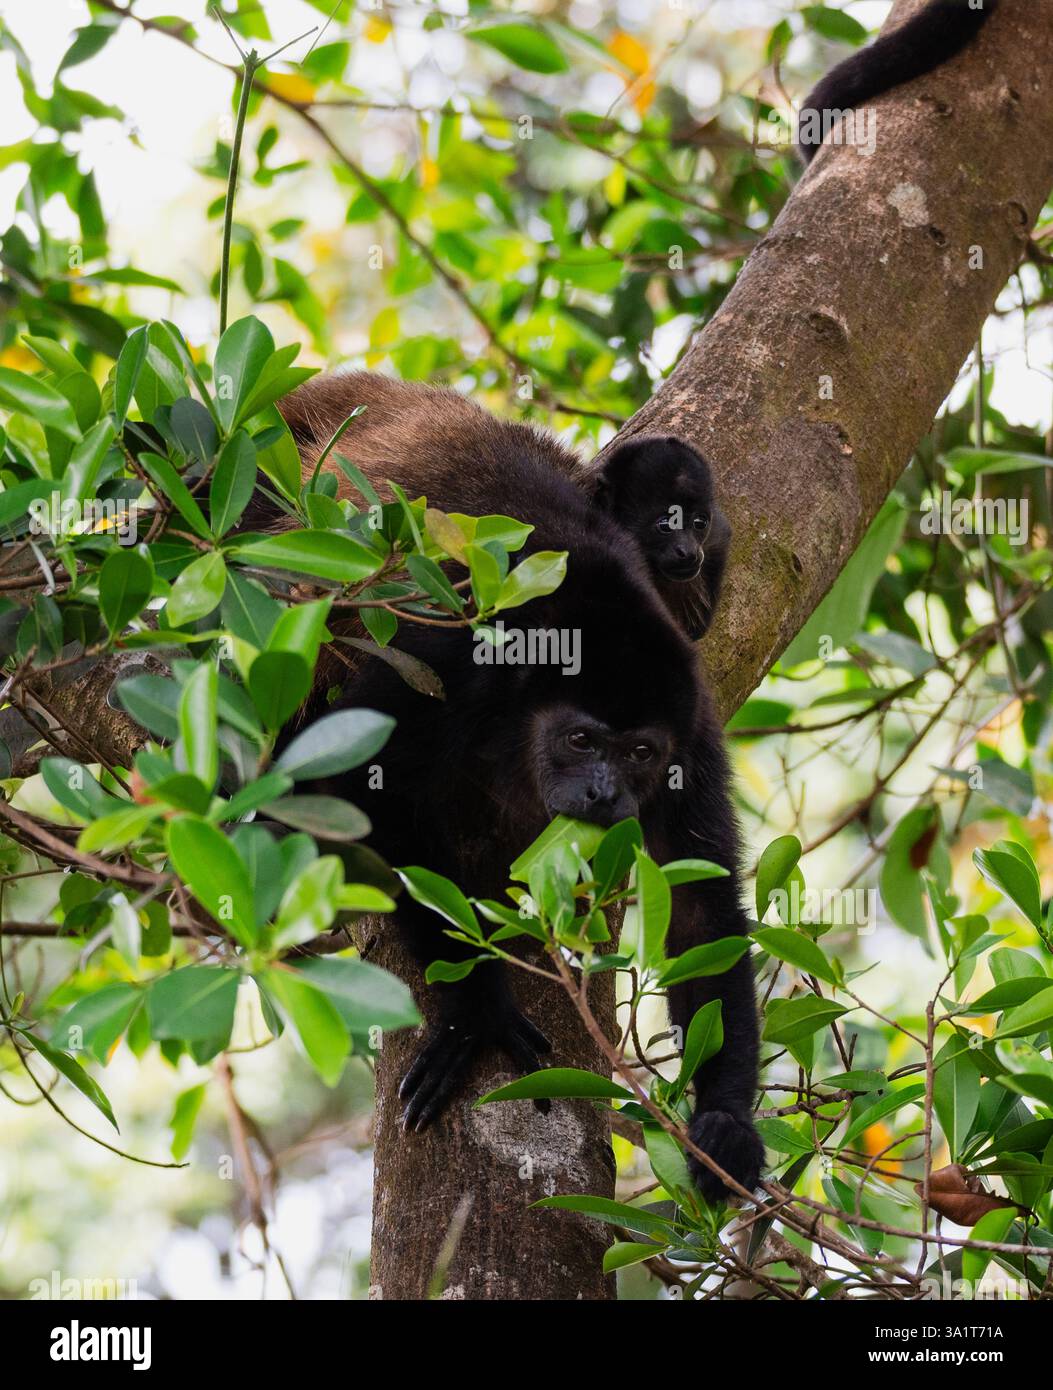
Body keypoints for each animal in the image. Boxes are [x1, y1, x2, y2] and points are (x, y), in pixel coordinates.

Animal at [276, 372, 764, 1202]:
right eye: (580, 741)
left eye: (640, 753)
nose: (603, 795)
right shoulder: (458, 662)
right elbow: (358, 778)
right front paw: (478, 1013)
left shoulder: (692, 733)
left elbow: (701, 903)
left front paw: (727, 1123)